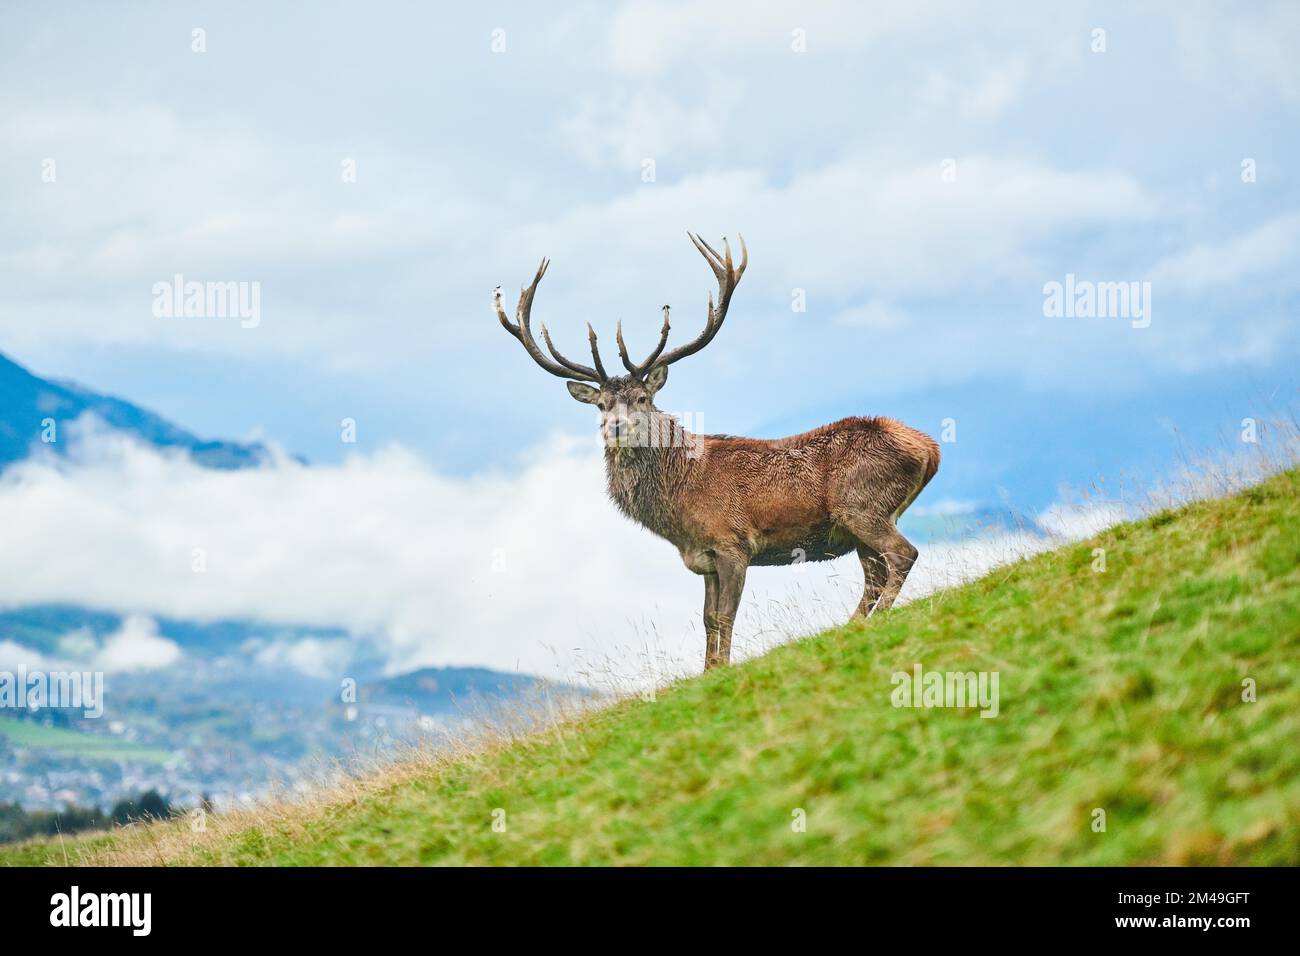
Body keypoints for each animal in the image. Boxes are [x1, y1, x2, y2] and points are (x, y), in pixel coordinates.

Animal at [494, 234, 940, 670]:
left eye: (642, 398)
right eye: (601, 404)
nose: (616, 427)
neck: (679, 508)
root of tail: (929, 449)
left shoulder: (733, 544)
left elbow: (726, 615)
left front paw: (723, 668)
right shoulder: (703, 558)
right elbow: (708, 618)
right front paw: (707, 671)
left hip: (861, 505)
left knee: (904, 554)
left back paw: (873, 619)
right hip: (861, 523)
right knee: (875, 574)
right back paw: (855, 624)